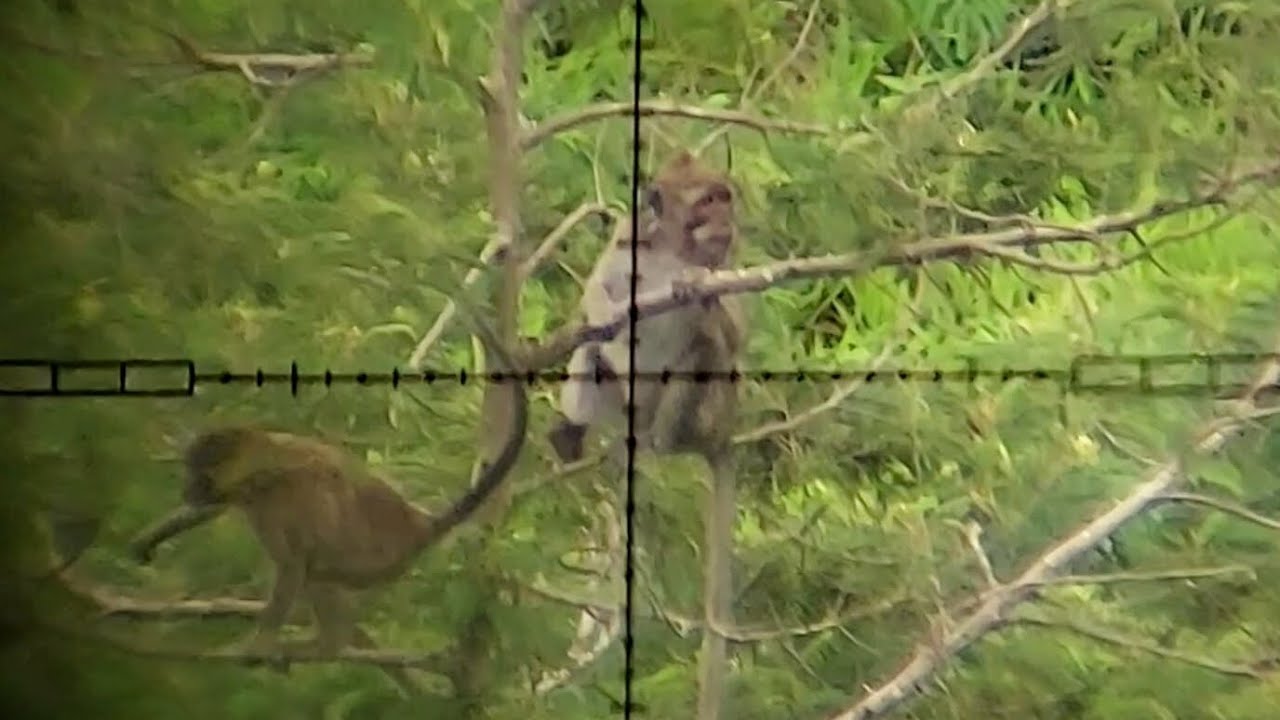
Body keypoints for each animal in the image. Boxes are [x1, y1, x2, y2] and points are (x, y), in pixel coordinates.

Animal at [128, 319, 528, 694]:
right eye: (189, 471)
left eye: (199, 472)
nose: (186, 487)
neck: (264, 464)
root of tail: (416, 525)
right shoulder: (246, 492)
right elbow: (212, 511)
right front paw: (151, 536)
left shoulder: (281, 497)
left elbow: (293, 564)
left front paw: (260, 643)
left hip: (371, 563)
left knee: (316, 569)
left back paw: (326, 647)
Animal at [548, 150, 743, 463]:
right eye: (708, 201)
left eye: (724, 199)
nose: (725, 221)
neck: (670, 246)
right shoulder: (627, 235)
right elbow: (595, 288)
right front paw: (602, 316)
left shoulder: (721, 260)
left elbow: (736, 338)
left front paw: (695, 284)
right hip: (619, 410)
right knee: (590, 348)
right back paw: (571, 435)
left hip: (708, 420)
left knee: (702, 350)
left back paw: (662, 443)